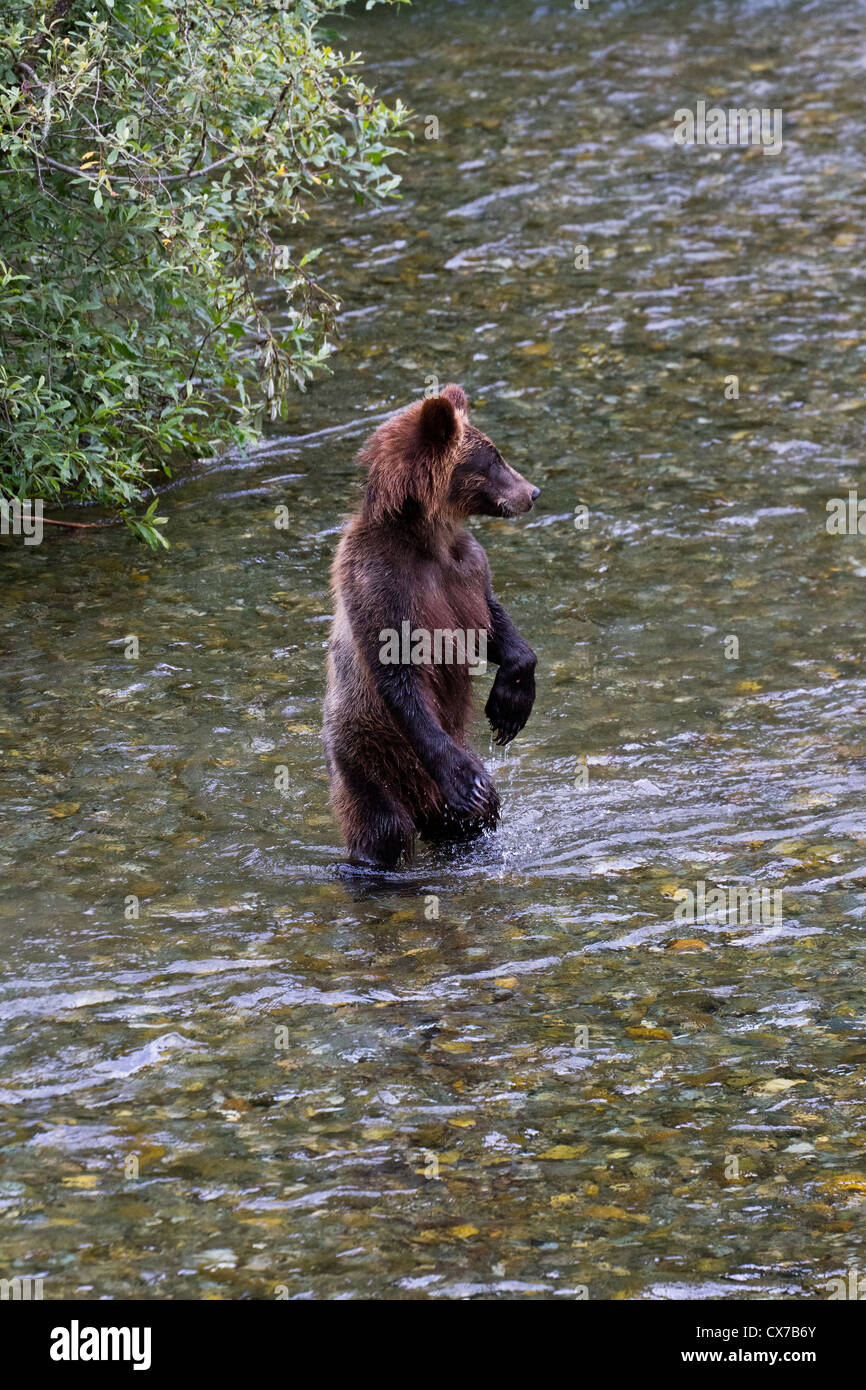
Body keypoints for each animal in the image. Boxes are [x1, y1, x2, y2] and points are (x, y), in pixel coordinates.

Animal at [323, 383, 539, 869]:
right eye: (493, 458)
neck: (428, 538)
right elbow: (397, 669)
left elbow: (493, 623)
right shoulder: (379, 581)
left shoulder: (468, 571)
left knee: (462, 826)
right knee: (382, 828)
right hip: (362, 756)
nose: (533, 491)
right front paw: (469, 782)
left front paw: (510, 703)